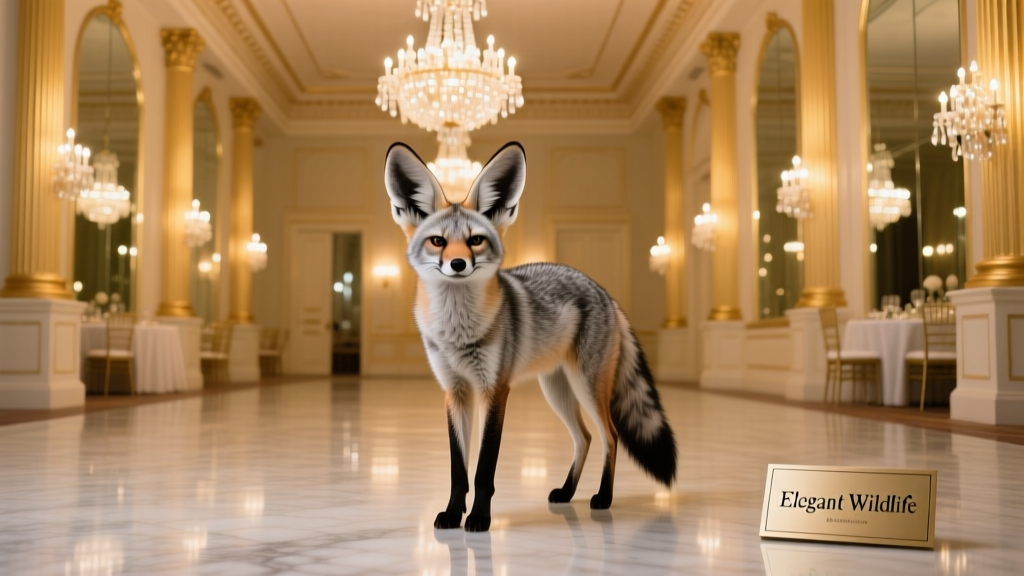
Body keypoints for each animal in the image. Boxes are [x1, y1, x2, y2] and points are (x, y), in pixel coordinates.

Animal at [384, 141, 677, 532]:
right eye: (438, 242)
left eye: (476, 241)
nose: (458, 264)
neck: (458, 332)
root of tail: (603, 291)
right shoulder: (455, 392)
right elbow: (459, 470)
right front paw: (452, 513)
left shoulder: (495, 390)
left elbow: (483, 470)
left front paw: (479, 518)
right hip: (556, 389)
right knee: (584, 437)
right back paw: (567, 493)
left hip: (587, 386)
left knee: (610, 436)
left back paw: (603, 498)